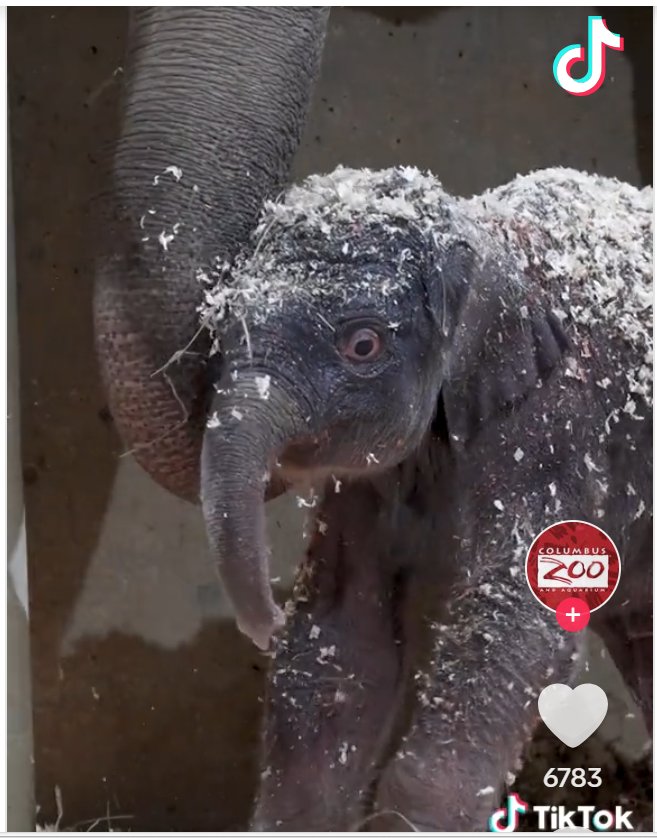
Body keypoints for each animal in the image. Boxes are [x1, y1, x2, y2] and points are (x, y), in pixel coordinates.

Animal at [94, 8, 652, 832]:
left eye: (362, 344)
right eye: (220, 326)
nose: (260, 623)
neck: (479, 226)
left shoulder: (555, 429)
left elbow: (509, 629)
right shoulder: (368, 486)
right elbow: (342, 643)